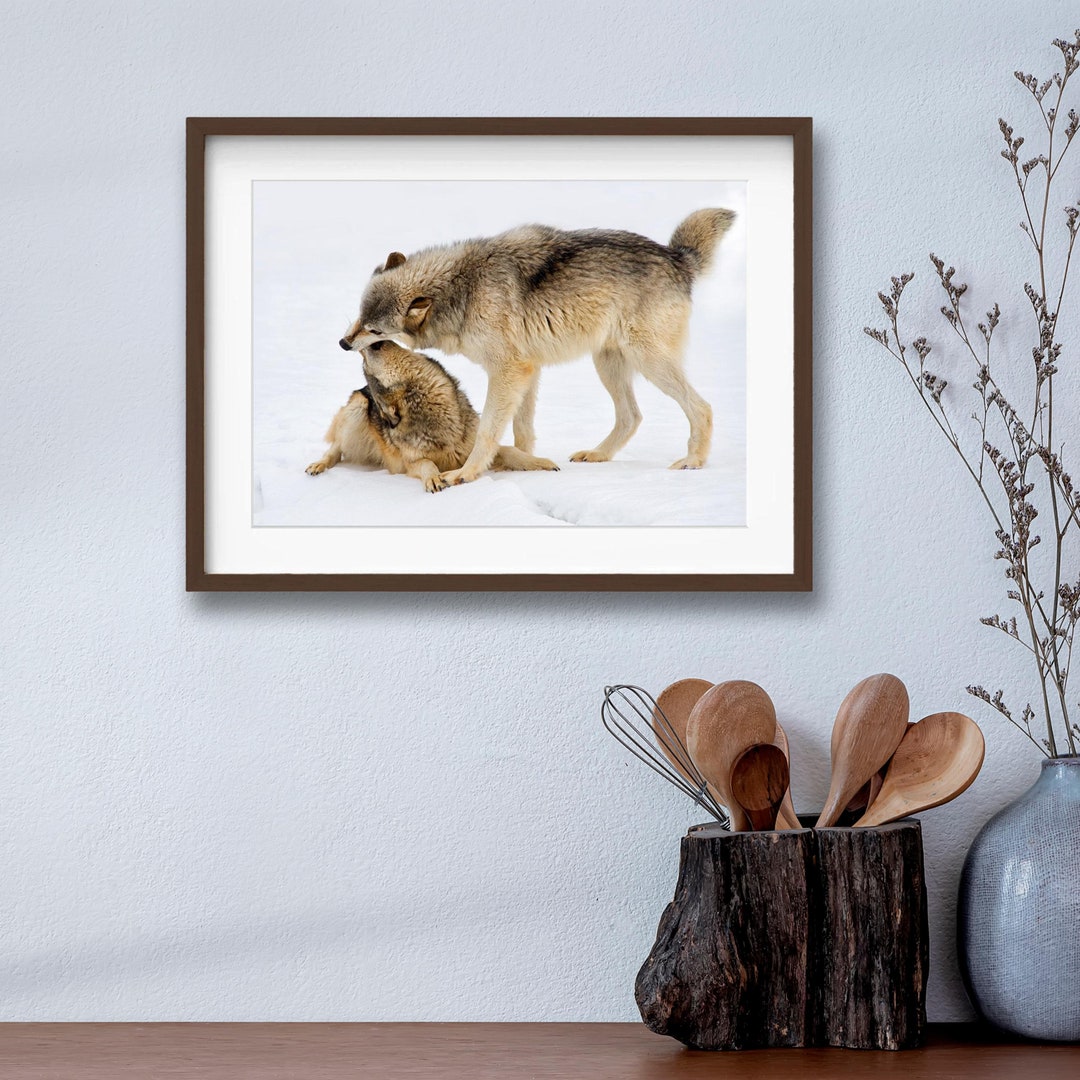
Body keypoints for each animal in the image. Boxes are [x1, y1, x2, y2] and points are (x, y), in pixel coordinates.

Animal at [306, 340, 558, 492]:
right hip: (357, 407)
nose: (349, 344)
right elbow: (428, 463)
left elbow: (513, 452)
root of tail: (361, 389)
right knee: (335, 450)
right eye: (366, 367)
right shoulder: (411, 463)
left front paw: (542, 463)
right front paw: (435, 479)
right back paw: (317, 466)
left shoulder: (472, 447)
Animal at [338, 208, 736, 487]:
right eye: (359, 317)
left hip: (647, 360)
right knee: (632, 416)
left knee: (701, 407)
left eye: (375, 329)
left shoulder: (508, 371)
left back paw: (692, 462)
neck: (463, 288)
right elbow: (522, 431)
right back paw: (598, 454)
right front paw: (526, 466)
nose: (343, 342)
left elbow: (489, 430)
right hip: (607, 363)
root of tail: (677, 256)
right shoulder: (527, 369)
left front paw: (466, 474)